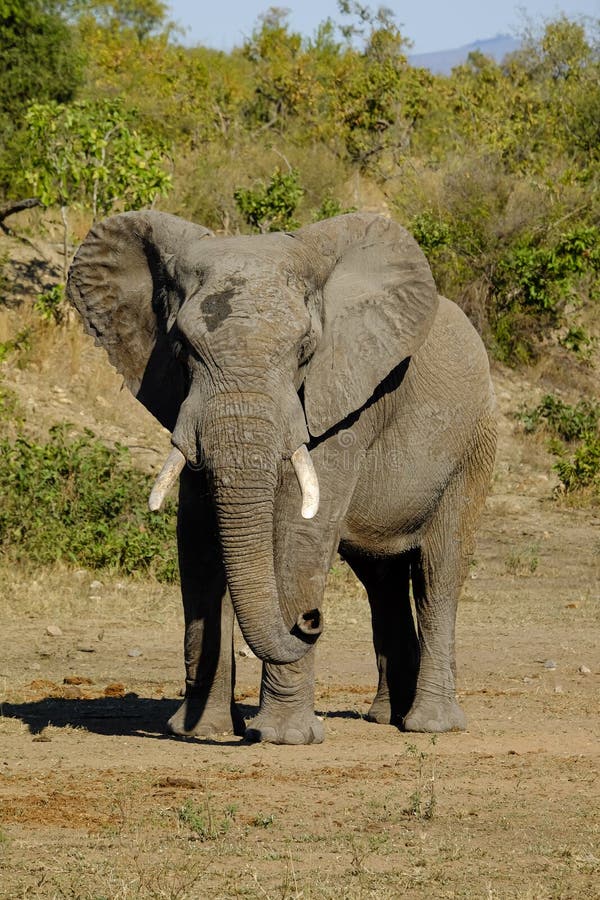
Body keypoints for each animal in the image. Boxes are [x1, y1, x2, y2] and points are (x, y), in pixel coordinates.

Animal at [67, 210, 497, 744]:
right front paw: (201, 732)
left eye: (305, 349)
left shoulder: (342, 403)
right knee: (382, 579)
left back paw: (429, 726)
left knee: (439, 571)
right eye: (182, 348)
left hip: (472, 448)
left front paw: (282, 738)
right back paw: (386, 718)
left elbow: (298, 535)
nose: (310, 620)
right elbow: (197, 540)